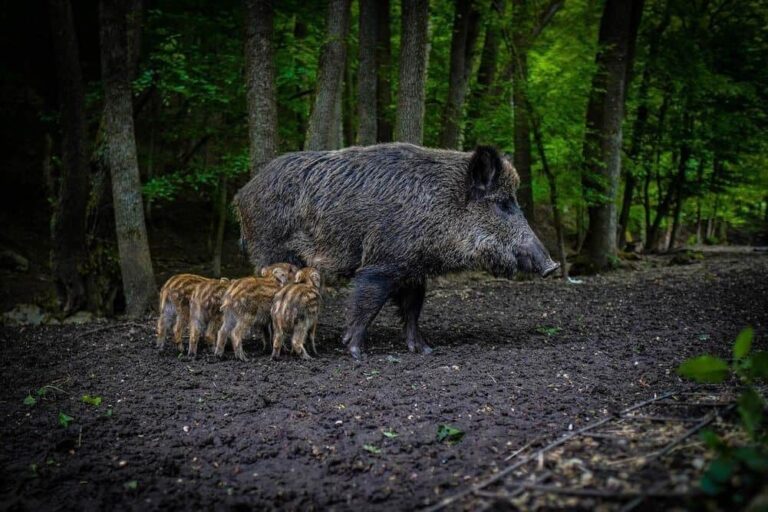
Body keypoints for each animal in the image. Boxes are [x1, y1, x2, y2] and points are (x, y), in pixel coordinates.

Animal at [234, 143, 559, 359]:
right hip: (272, 249)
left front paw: (425, 350)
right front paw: (355, 352)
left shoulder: (414, 270)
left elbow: (412, 309)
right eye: (502, 204)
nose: (552, 266)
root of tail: (243, 193)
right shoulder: (382, 263)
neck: (442, 205)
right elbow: (368, 303)